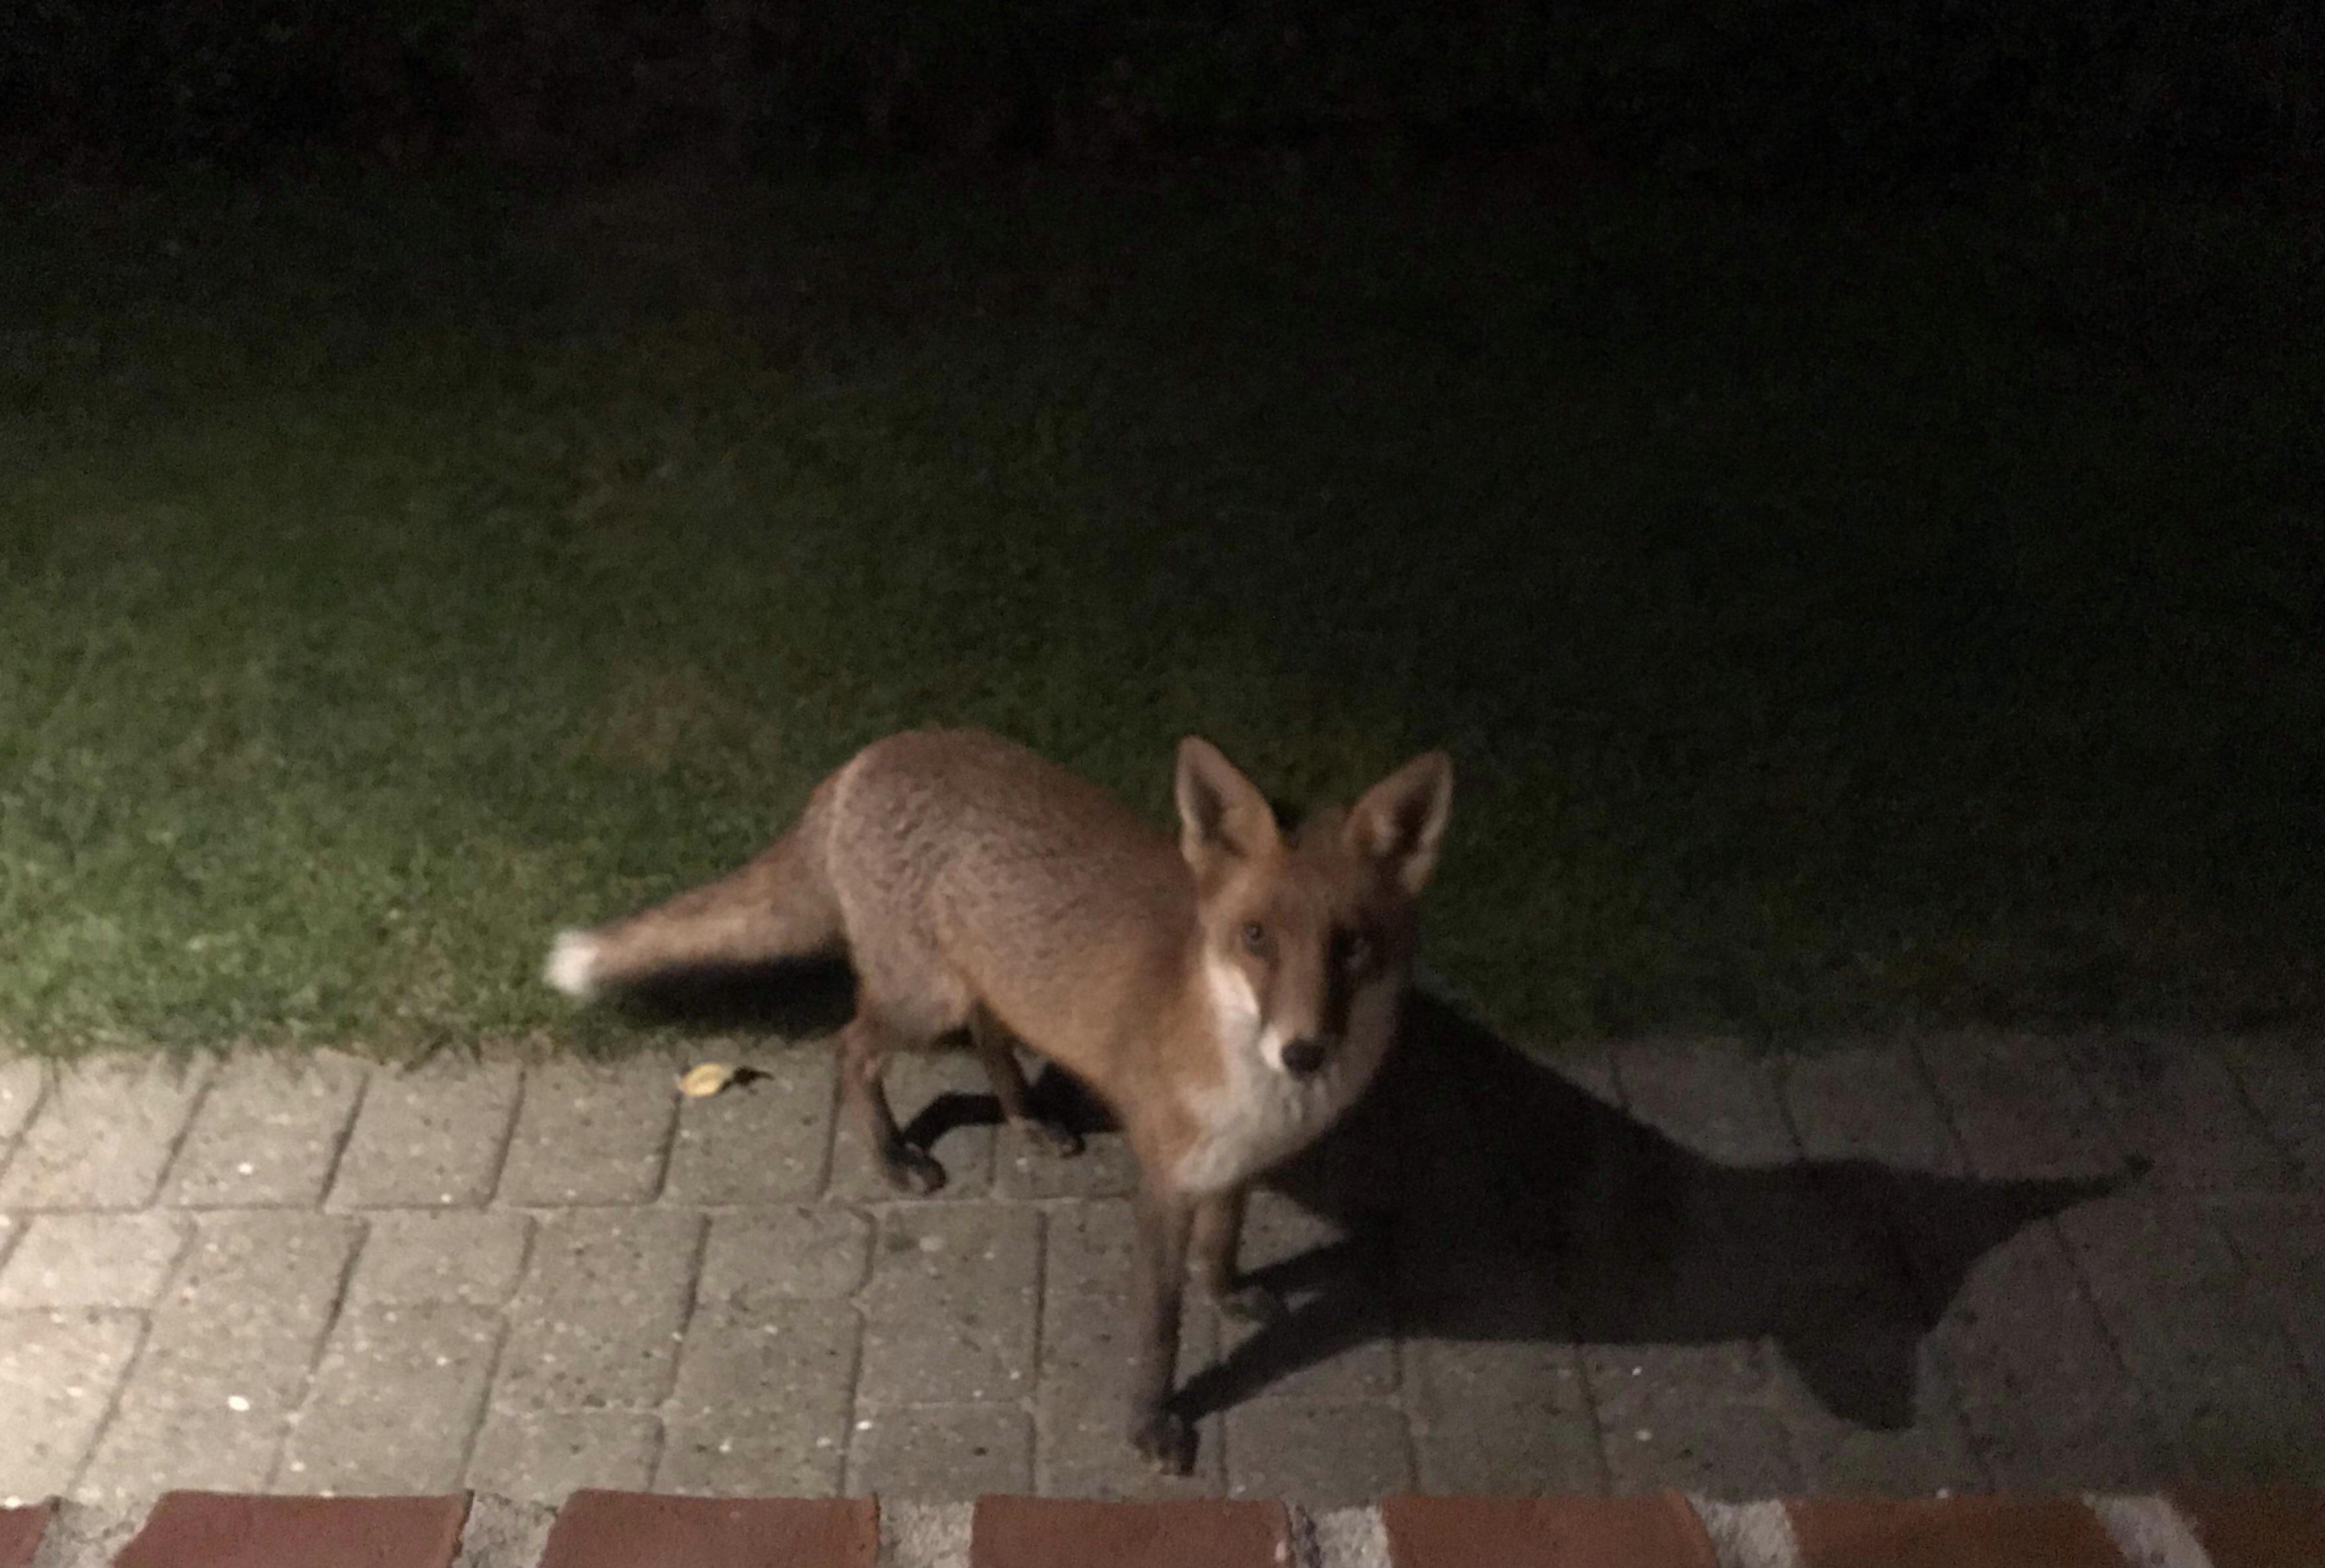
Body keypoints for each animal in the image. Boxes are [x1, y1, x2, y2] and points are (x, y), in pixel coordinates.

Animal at [544, 727, 1453, 1472]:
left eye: (1352, 945)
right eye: (1255, 937)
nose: (1302, 1051)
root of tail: (871, 754)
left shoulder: (1232, 1160)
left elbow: (1222, 1245)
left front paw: (1227, 1296)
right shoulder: (1165, 1183)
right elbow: (1159, 1325)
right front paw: (1150, 1422)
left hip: (982, 982)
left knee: (985, 1033)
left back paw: (1026, 1116)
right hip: (925, 999)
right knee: (849, 1047)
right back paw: (892, 1154)